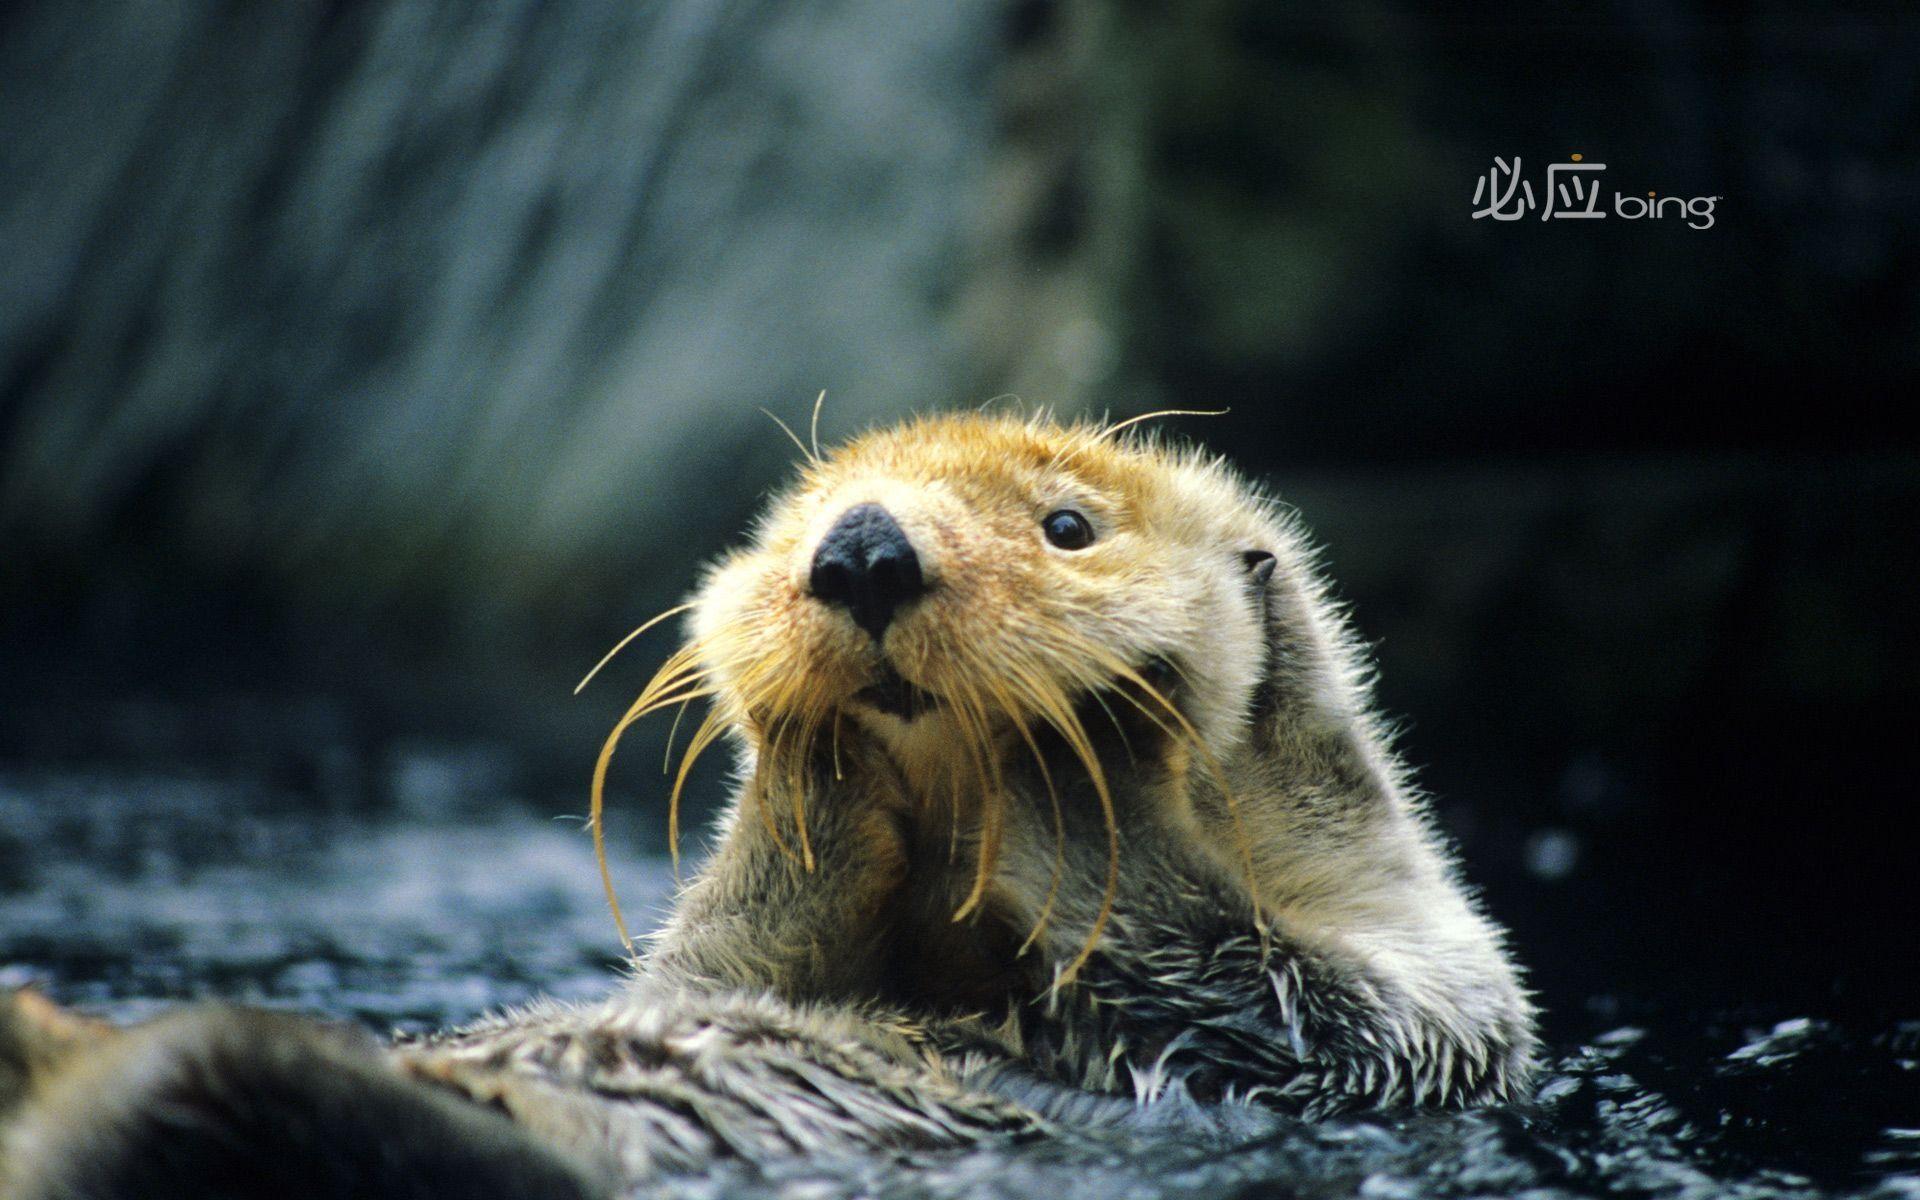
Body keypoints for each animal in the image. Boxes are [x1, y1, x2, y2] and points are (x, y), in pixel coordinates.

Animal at [1, 413, 1535, 1198]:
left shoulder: (1415, 997)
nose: (859, 551)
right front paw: (806, 760)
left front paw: (1086, 739)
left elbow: (1260, 981)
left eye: (1069, 528)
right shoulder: (723, 962)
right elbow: (727, 951)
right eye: (801, 519)